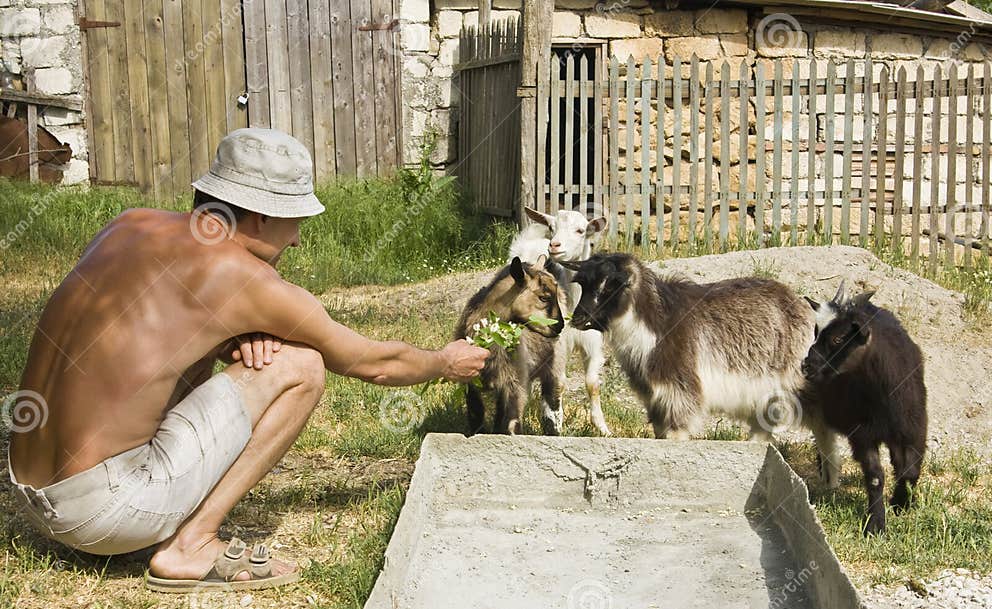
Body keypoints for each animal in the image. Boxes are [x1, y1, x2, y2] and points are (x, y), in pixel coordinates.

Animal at [454, 256, 565, 435]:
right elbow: (476, 414)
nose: (560, 325)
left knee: (552, 402)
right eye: (544, 297)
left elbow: (512, 422)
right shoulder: (471, 383)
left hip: (554, 364)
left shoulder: (515, 382)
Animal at [508, 207, 611, 435]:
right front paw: (557, 423)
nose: (554, 245)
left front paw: (602, 428)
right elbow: (560, 384)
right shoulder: (559, 345)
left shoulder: (592, 342)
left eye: (581, 230)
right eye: (551, 227)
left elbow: (593, 383)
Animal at [563, 252, 820, 444]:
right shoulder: (654, 397)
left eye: (610, 286)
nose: (577, 318)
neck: (657, 325)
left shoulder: (680, 389)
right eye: (583, 285)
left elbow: (677, 431)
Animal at [801, 285, 928, 535]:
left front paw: (901, 504)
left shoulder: (913, 431)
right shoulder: (862, 434)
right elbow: (875, 477)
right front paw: (876, 524)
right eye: (816, 331)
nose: (806, 366)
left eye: (838, 338)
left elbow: (909, 472)